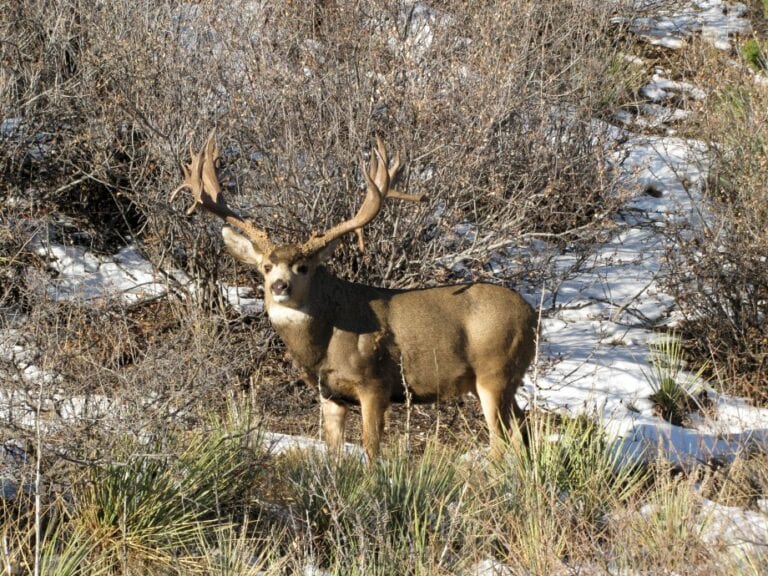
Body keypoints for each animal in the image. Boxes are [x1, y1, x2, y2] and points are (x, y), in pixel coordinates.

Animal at [171, 132, 537, 460]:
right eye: (265, 266)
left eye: (304, 267)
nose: (280, 286)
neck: (325, 343)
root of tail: (532, 314)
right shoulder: (330, 394)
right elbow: (332, 453)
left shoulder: (375, 383)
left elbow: (371, 449)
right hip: (499, 380)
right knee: (523, 429)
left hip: (495, 370)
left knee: (502, 440)